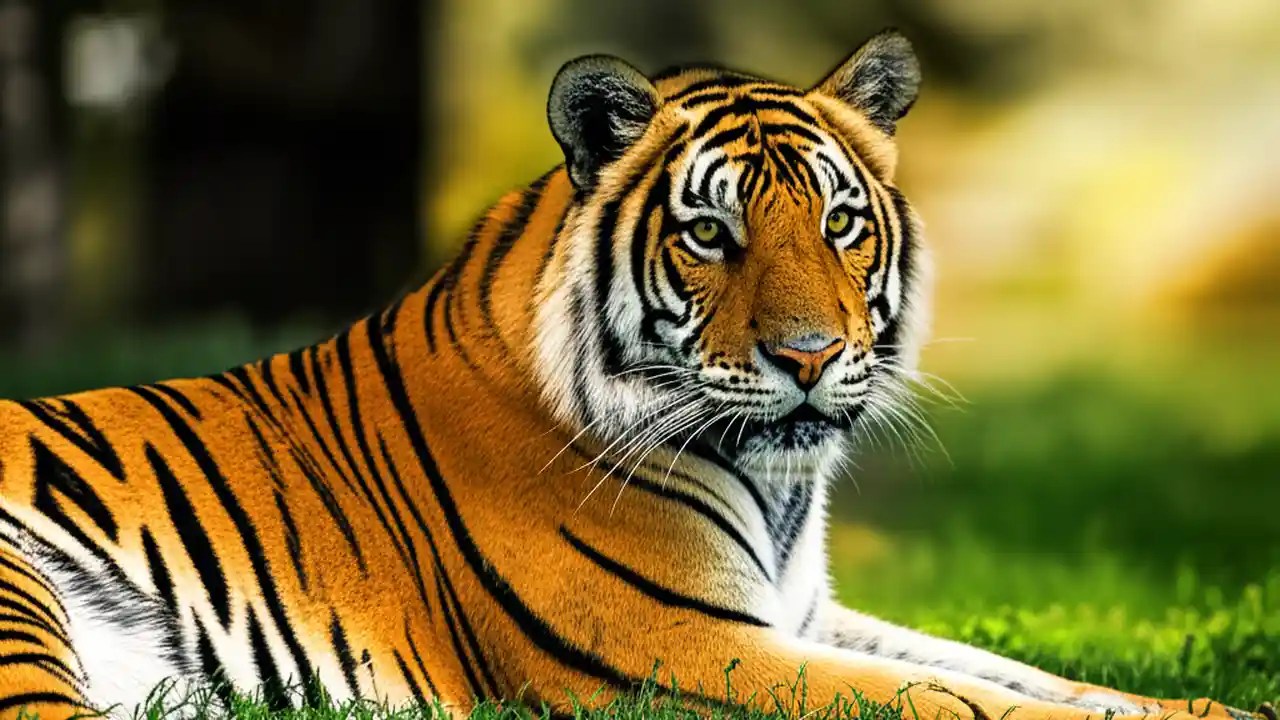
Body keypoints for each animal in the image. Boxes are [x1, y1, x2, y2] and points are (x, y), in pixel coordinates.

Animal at [0, 29, 1269, 720]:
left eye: (840, 223)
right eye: (709, 235)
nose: (809, 357)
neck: (776, 488)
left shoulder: (810, 614)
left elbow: (1027, 674)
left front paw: (1214, 701)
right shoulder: (691, 647)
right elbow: (963, 700)